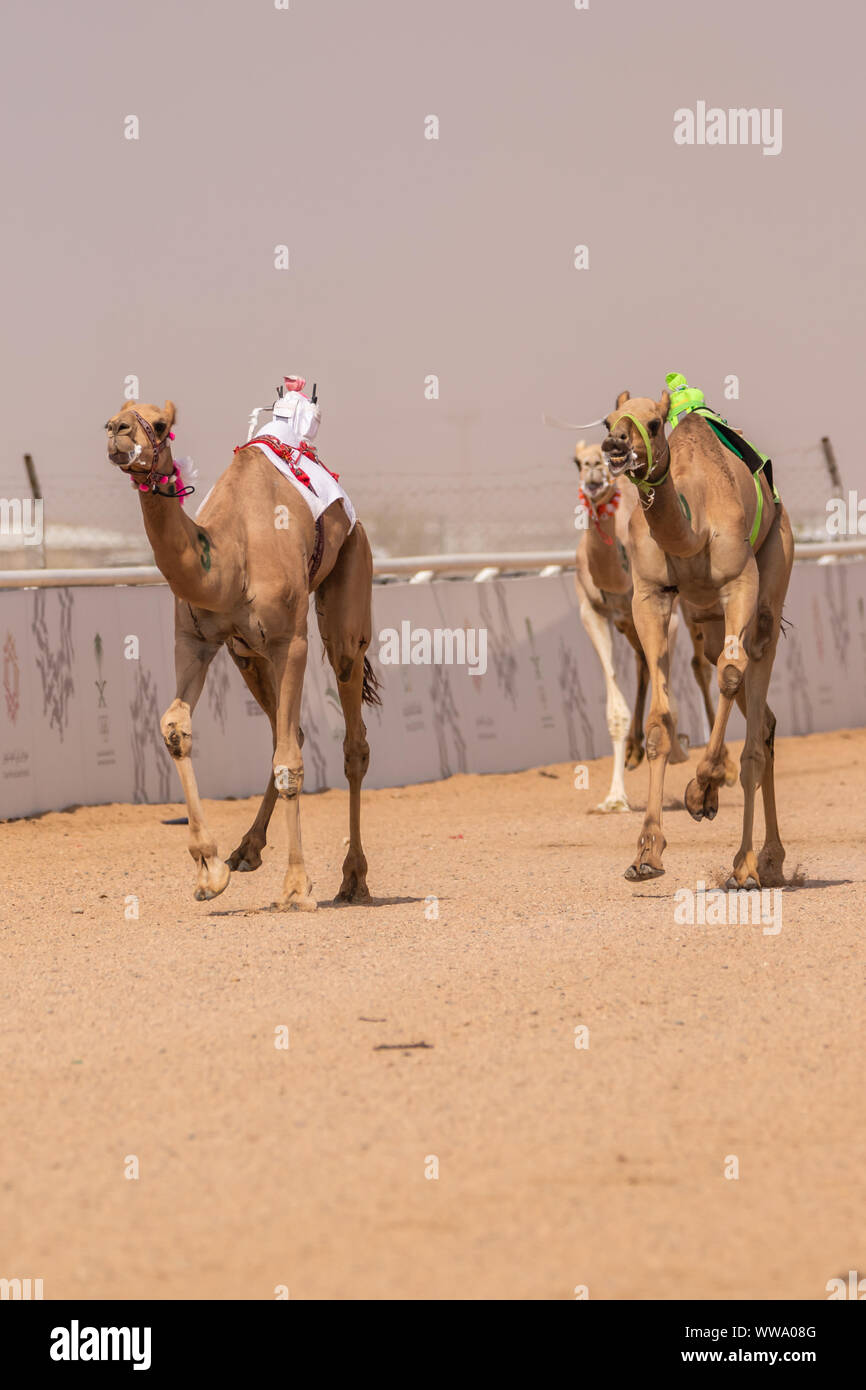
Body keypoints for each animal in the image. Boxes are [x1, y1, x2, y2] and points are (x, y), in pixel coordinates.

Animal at [104, 391, 379, 910]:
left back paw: (354, 879)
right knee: (287, 732)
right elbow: (175, 728)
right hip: (246, 654)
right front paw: (209, 871)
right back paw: (246, 850)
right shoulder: (195, 641)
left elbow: (290, 762)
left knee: (351, 736)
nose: (117, 431)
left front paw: (296, 887)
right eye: (113, 416)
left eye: (159, 423)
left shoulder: (291, 641)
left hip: (351, 576)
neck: (231, 555)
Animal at [573, 441, 734, 812]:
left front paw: (681, 750)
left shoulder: (668, 616)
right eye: (577, 461)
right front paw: (614, 798)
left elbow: (671, 693)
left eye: (602, 458)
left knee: (702, 663)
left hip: (695, 602)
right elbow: (616, 710)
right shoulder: (593, 612)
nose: (593, 469)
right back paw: (636, 752)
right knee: (646, 665)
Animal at [600, 388, 793, 885]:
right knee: (764, 722)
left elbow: (729, 677)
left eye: (653, 423)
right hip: (706, 621)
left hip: (773, 569)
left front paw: (700, 795)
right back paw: (769, 861)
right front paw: (646, 854)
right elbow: (658, 722)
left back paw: (749, 864)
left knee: (754, 714)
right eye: (608, 419)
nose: (615, 445)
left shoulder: (739, 583)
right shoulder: (650, 595)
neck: (694, 529)